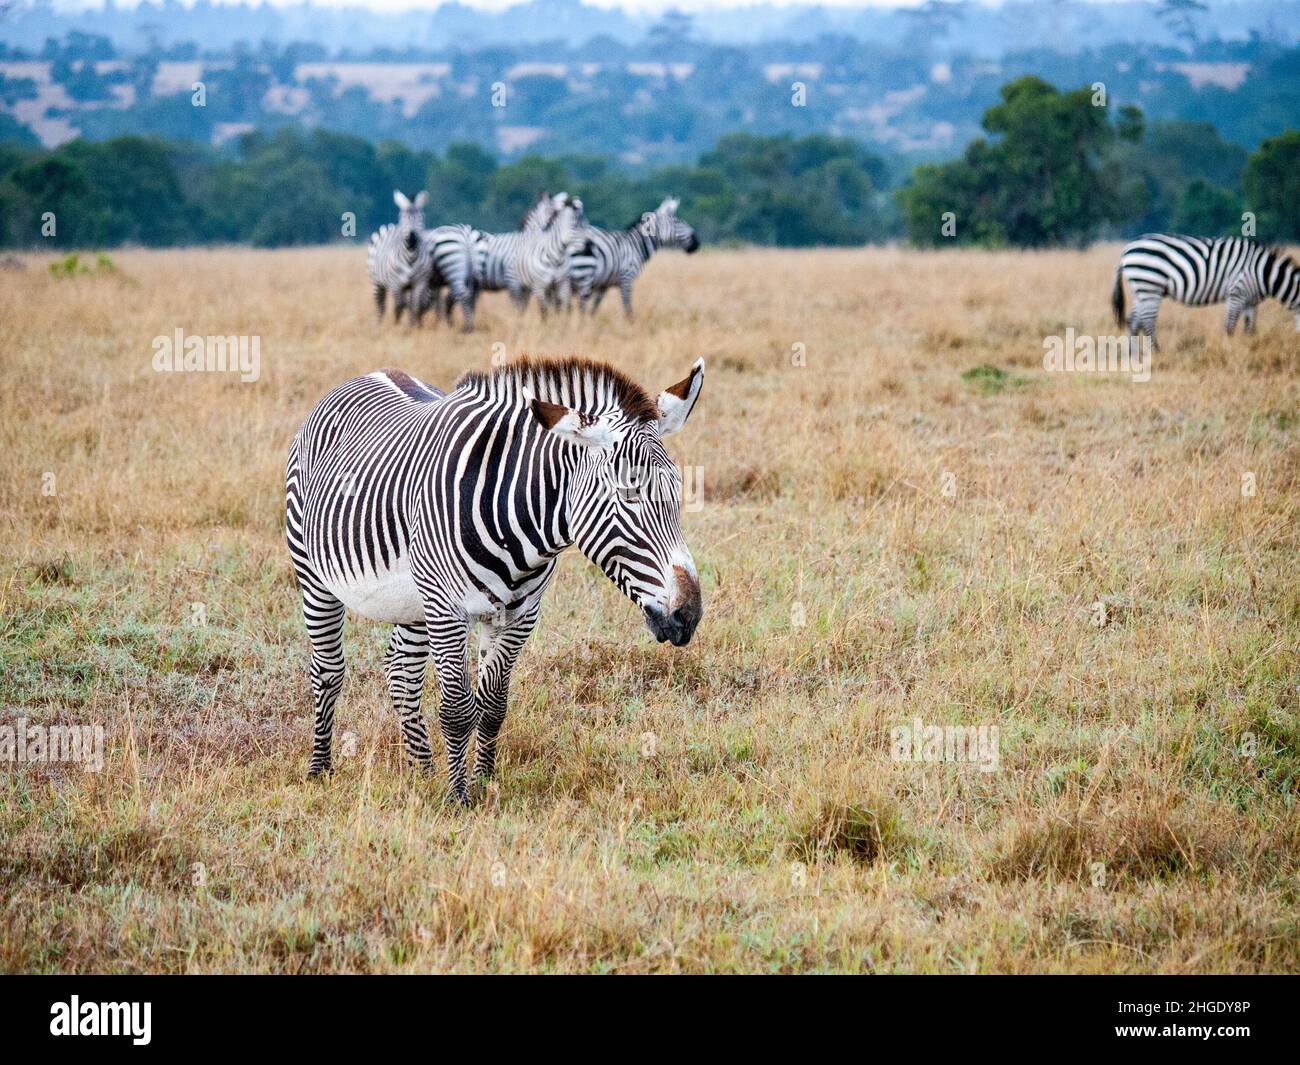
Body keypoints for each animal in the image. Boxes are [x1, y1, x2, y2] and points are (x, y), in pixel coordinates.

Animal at [285, 356, 707, 804]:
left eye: (678, 489)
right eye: (630, 495)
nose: (689, 614)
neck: (518, 522)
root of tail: (372, 373)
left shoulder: (519, 615)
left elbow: (493, 703)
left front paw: (485, 780)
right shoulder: (447, 609)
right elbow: (456, 708)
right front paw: (458, 798)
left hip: (413, 600)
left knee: (401, 674)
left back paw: (422, 770)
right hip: (314, 576)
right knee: (328, 671)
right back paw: (320, 769)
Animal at [367, 190, 434, 326]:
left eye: (421, 217)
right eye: (402, 217)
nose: (411, 240)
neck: (410, 257)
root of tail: (390, 226)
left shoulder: (419, 283)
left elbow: (415, 306)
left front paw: (414, 326)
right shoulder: (396, 284)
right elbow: (399, 306)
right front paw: (396, 326)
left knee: (410, 304)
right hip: (377, 282)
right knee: (380, 306)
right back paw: (379, 325)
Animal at [564, 197, 700, 320]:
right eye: (677, 221)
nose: (697, 244)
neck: (635, 245)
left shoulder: (604, 284)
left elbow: (594, 309)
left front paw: (592, 324)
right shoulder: (627, 279)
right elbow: (628, 309)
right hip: (583, 276)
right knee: (579, 306)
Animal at [1114, 234, 1300, 351]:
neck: (1264, 272)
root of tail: (1126, 250)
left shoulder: (1251, 301)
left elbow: (1250, 326)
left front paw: (1250, 345)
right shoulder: (1237, 292)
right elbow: (1230, 324)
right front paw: (1229, 346)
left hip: (1141, 288)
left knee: (1133, 320)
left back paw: (1134, 353)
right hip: (1150, 285)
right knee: (1148, 320)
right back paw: (1156, 351)